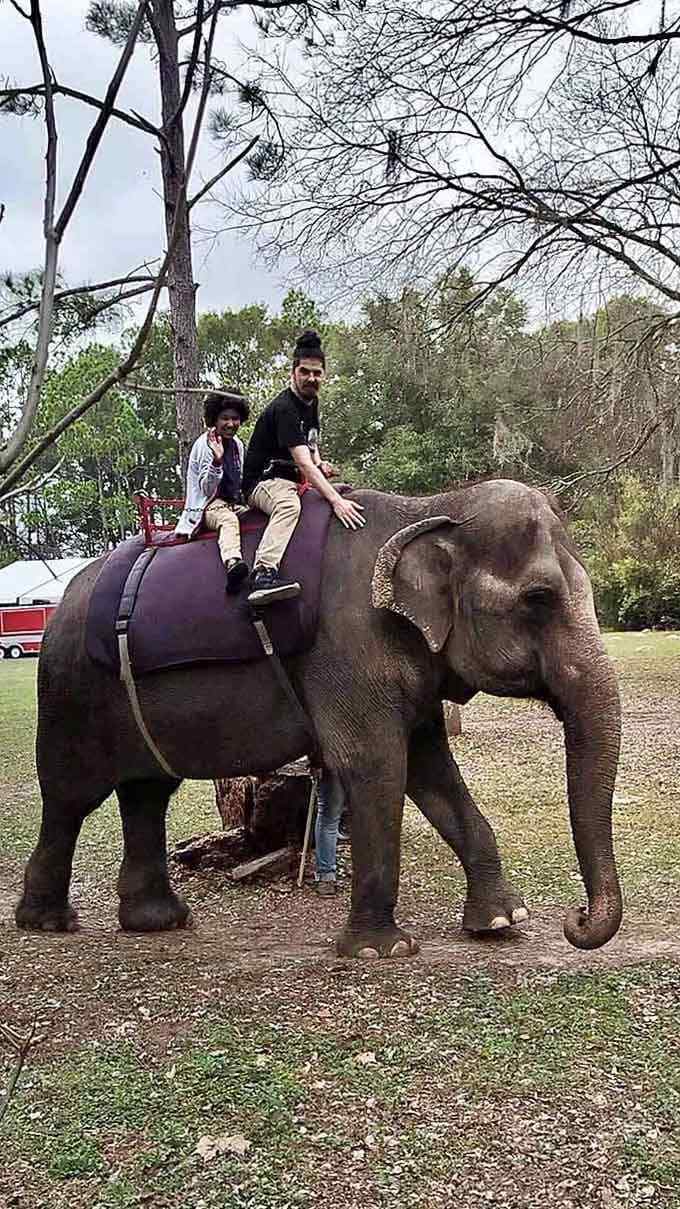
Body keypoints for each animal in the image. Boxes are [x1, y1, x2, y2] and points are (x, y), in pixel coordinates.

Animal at [15, 479, 622, 958]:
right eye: (539, 598)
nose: (575, 922)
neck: (429, 508)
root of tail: (64, 600)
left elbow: (432, 771)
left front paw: (499, 924)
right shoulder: (348, 650)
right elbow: (377, 766)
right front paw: (382, 950)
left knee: (147, 791)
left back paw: (158, 921)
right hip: (72, 691)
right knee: (70, 796)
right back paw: (49, 923)